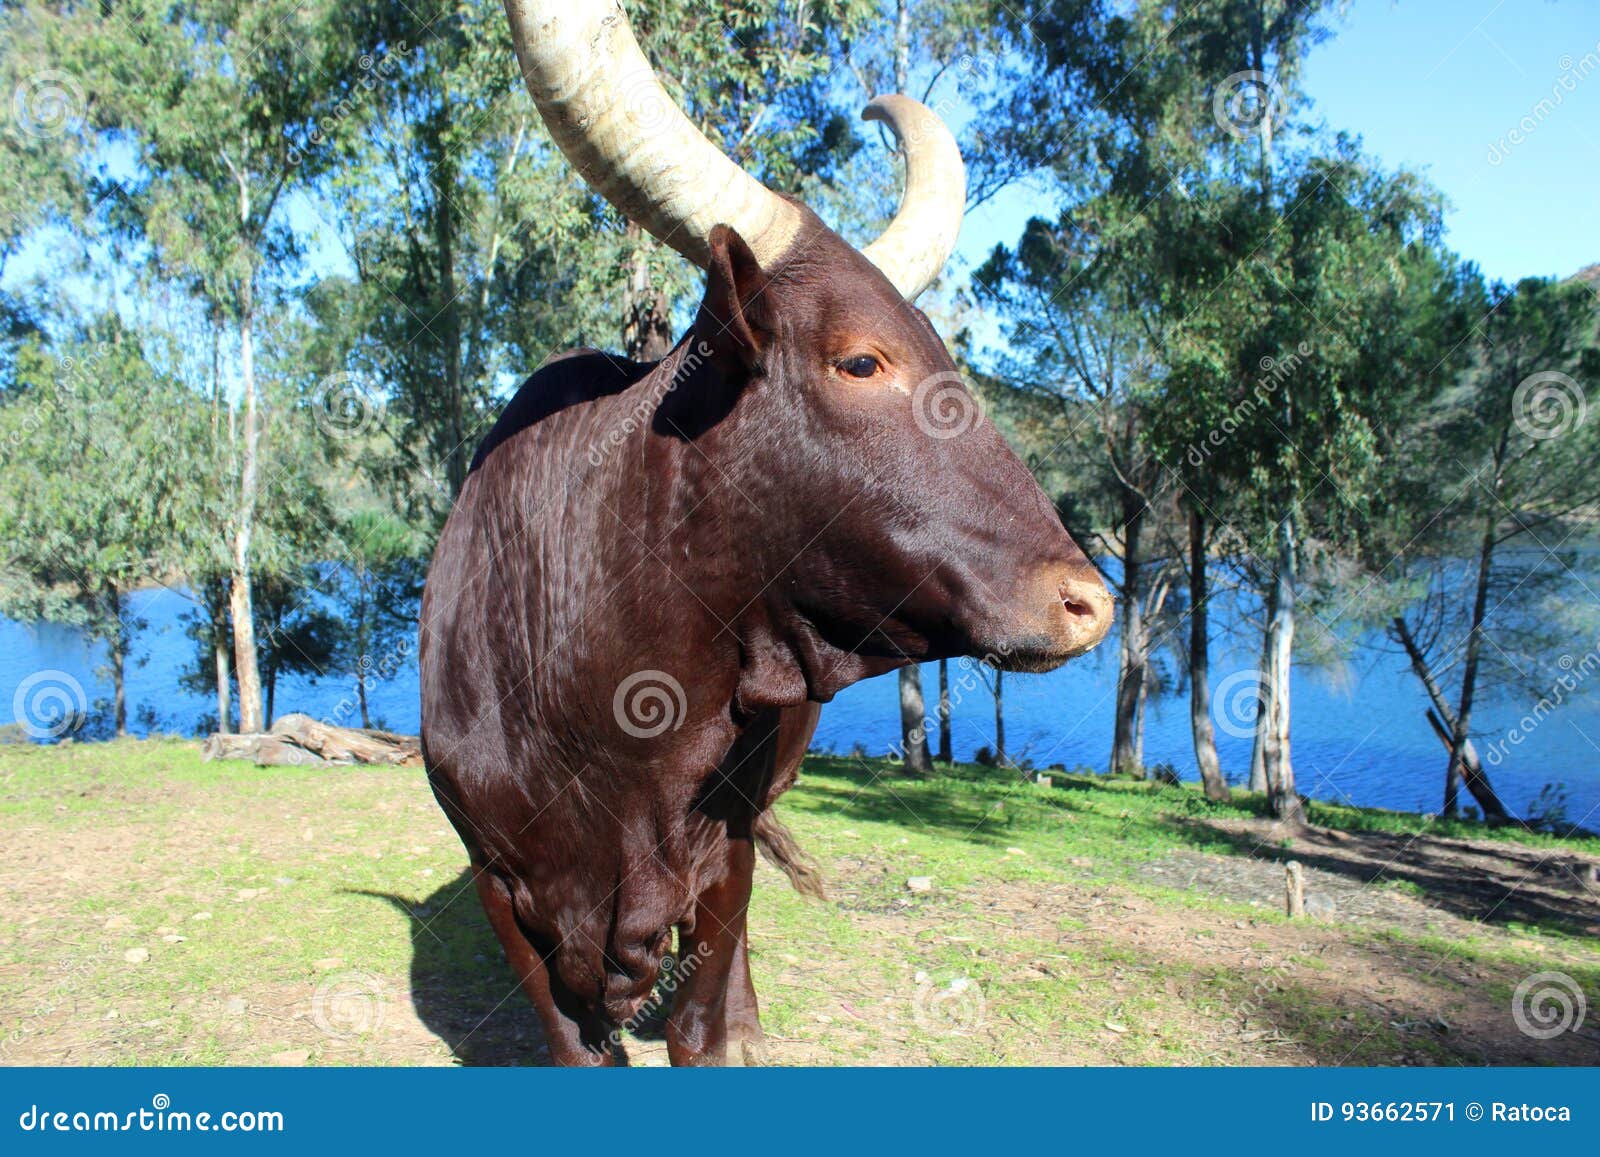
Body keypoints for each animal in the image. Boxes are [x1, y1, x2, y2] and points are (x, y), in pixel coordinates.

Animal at [418, 0, 1113, 1066]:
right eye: (861, 360)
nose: (1086, 601)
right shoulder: (501, 885)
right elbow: (571, 1037)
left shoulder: (724, 851)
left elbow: (706, 1006)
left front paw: (733, 1026)